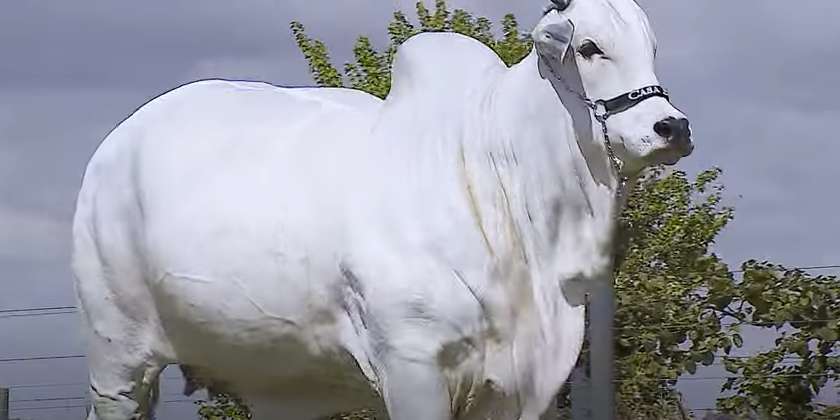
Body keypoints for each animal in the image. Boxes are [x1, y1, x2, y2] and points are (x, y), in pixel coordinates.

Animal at [71, 0, 693, 419]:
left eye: (651, 48)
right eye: (589, 48)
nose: (672, 127)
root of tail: (115, 145)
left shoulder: (514, 385)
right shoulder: (412, 365)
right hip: (116, 355)